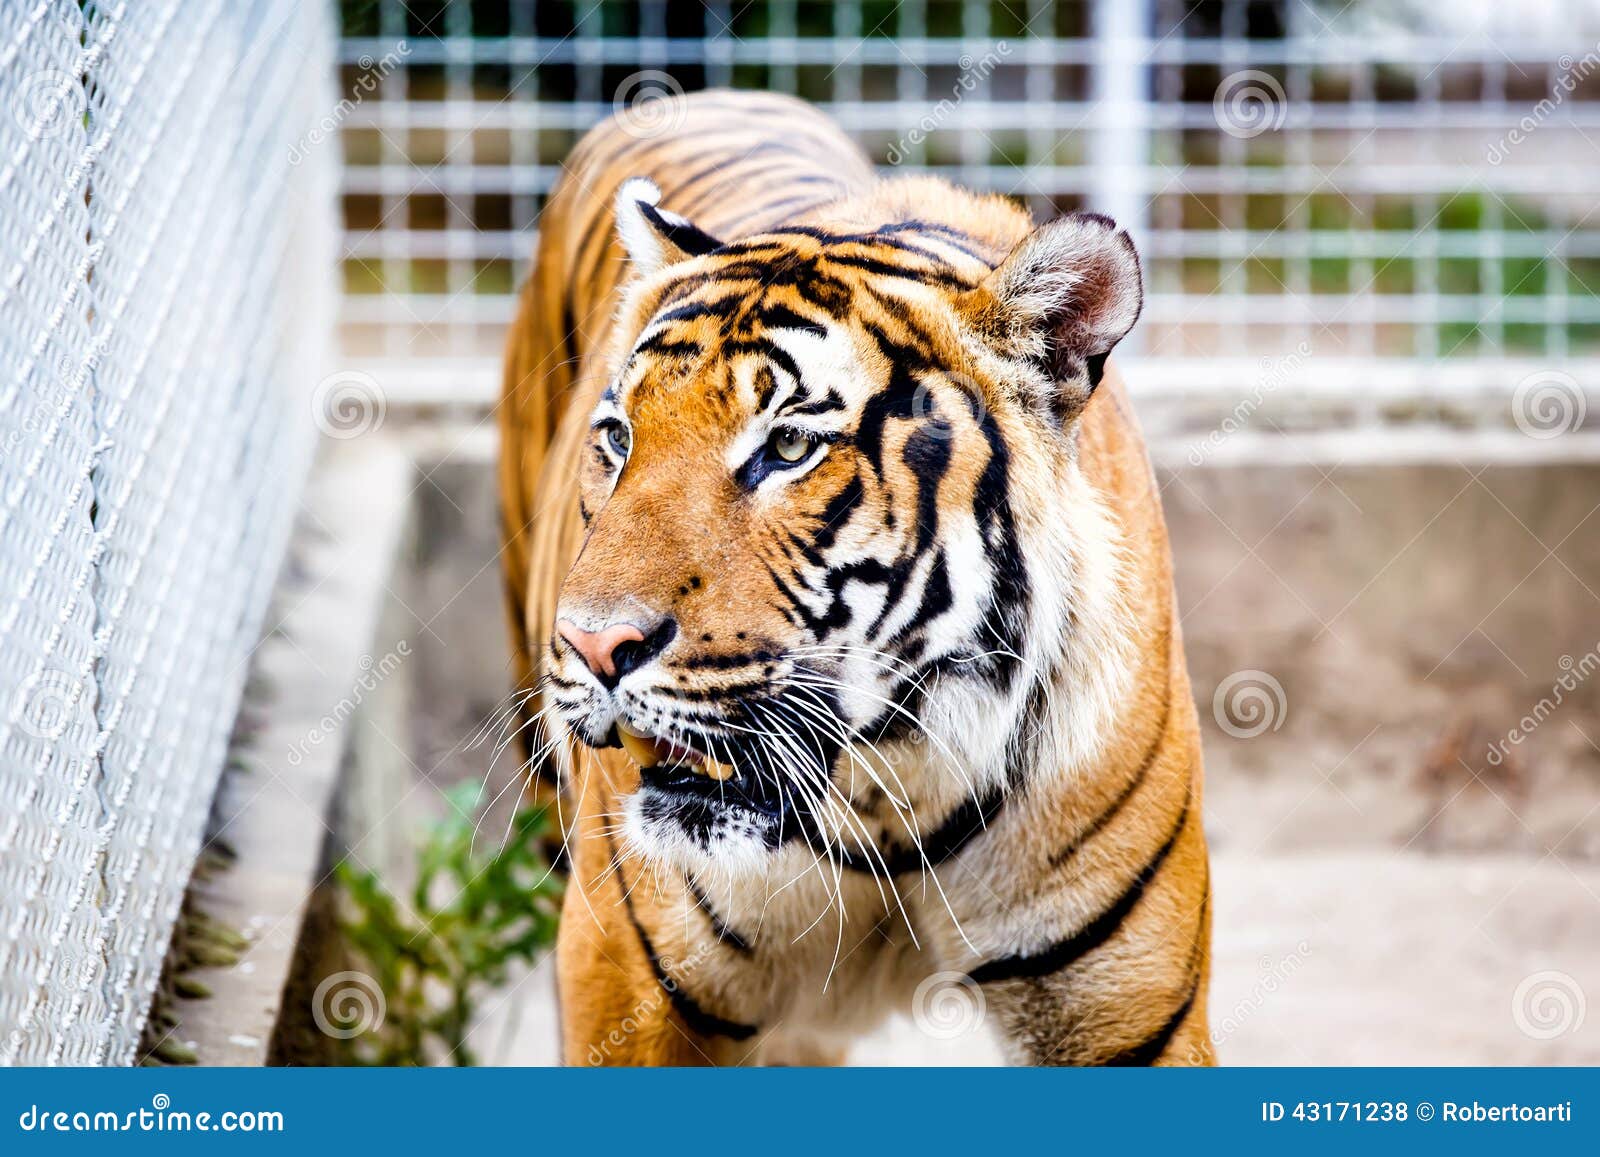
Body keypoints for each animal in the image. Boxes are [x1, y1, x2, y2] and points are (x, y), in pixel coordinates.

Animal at [499, 90, 1212, 1066]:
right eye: (618, 437)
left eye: (789, 446)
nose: (592, 645)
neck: (885, 789)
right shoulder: (628, 983)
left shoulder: (1127, 1016)